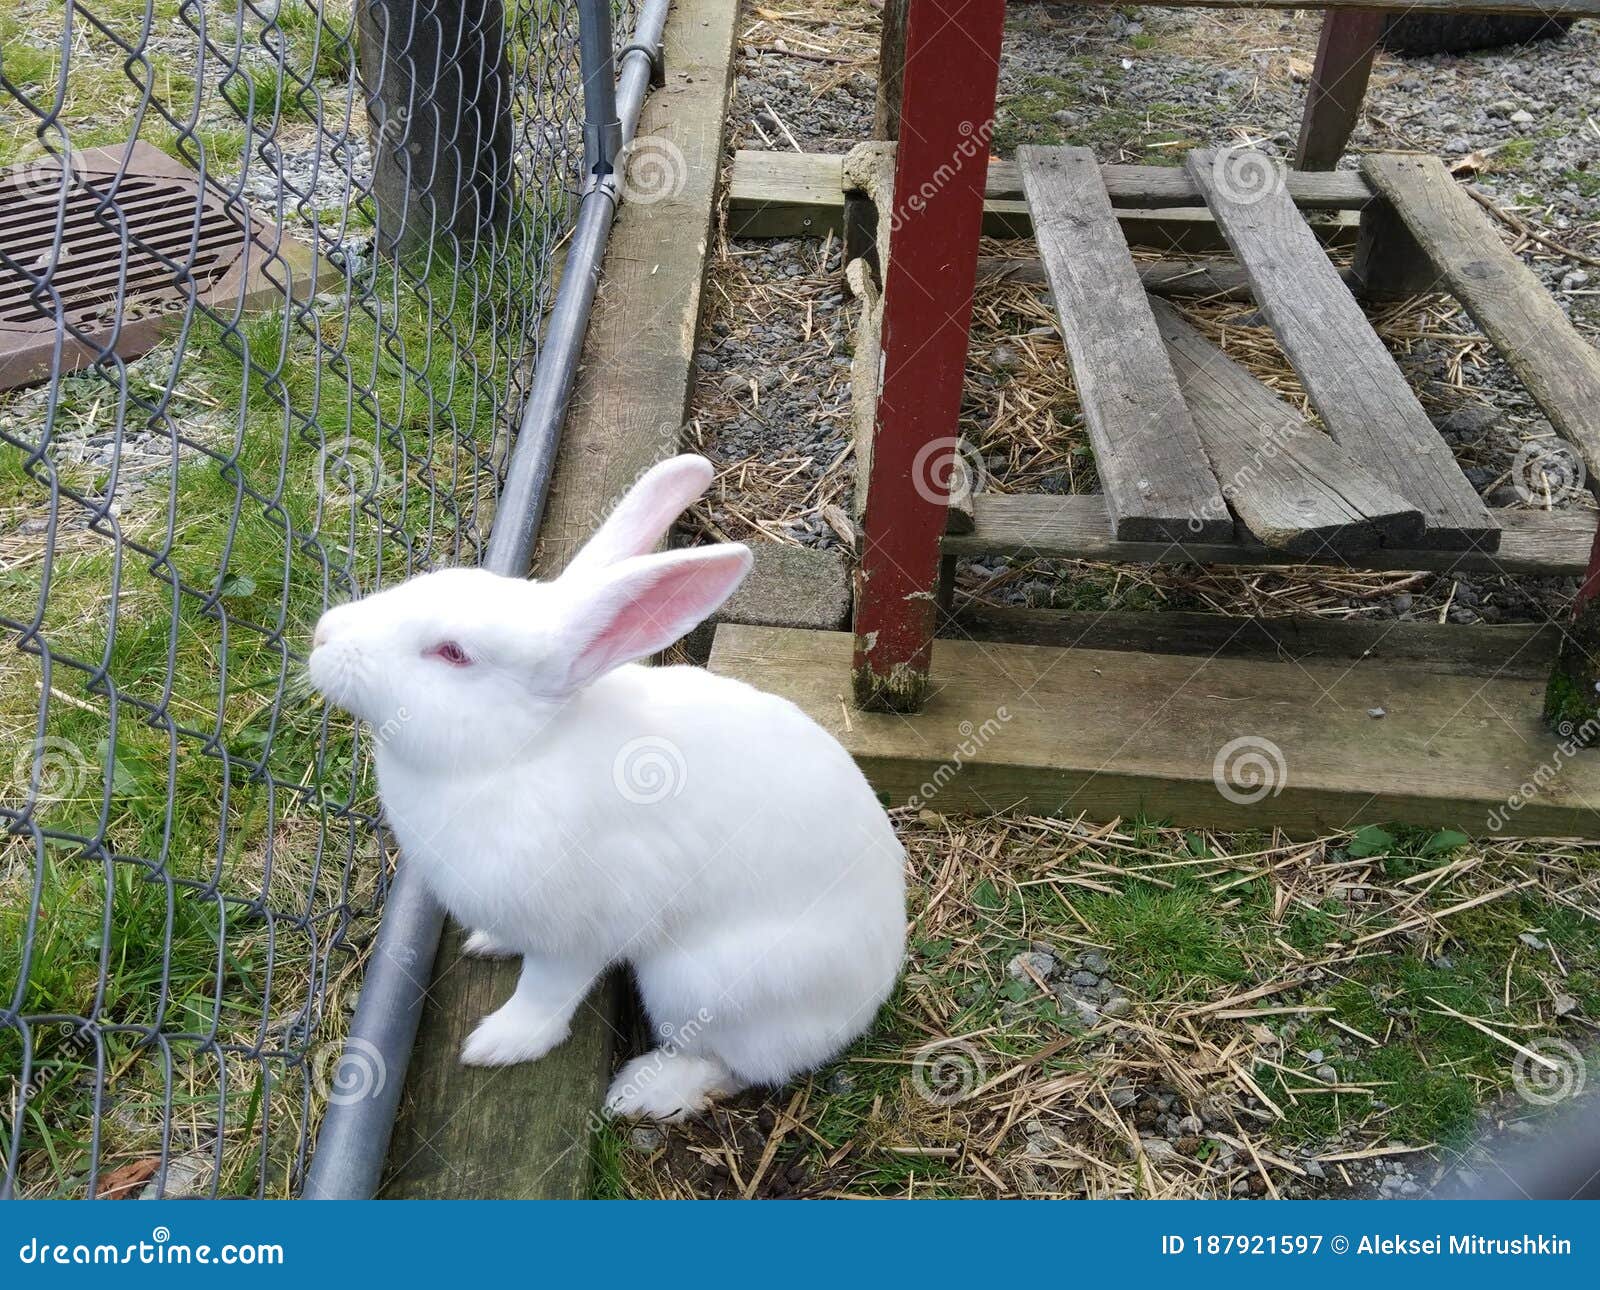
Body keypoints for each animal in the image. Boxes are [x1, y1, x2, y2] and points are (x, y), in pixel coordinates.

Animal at [309, 454, 906, 1120]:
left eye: (453, 653)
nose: (324, 635)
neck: (517, 752)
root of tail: (869, 997)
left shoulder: (579, 934)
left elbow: (545, 994)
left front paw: (499, 1044)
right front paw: (488, 944)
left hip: (701, 984)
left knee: (735, 1064)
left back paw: (643, 1091)